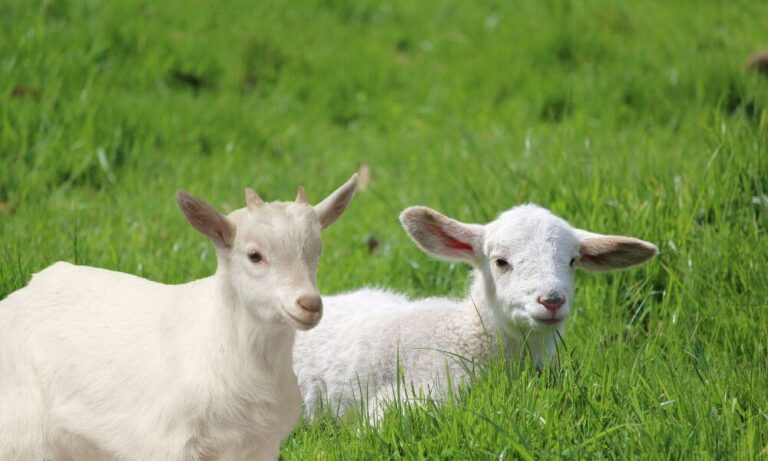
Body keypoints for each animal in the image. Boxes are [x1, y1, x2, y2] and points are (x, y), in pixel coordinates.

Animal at [0, 174, 358, 461]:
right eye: (254, 255)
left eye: (316, 252)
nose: (309, 304)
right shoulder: (167, 441)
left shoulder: (258, 445)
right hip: (24, 433)